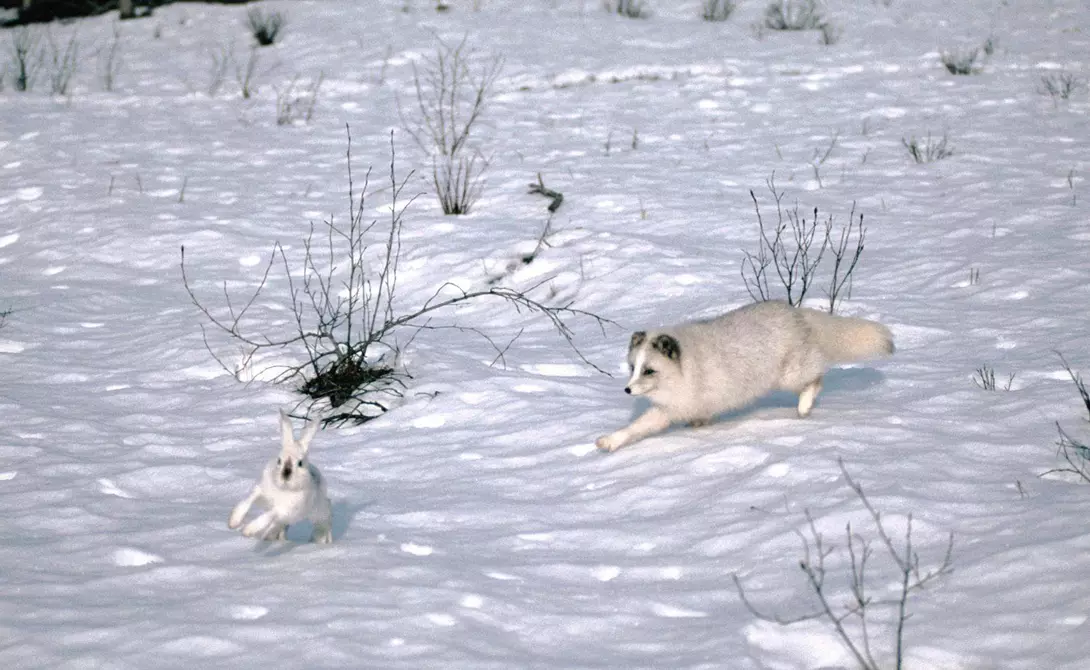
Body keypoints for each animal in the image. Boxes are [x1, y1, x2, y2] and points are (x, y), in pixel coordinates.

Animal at [597, 302, 893, 451]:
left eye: (649, 370)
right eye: (632, 367)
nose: (627, 390)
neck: (686, 367)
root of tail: (796, 312)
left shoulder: (675, 406)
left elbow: (641, 425)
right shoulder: (676, 408)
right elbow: (635, 428)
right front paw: (610, 442)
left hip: (789, 374)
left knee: (817, 376)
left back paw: (804, 406)